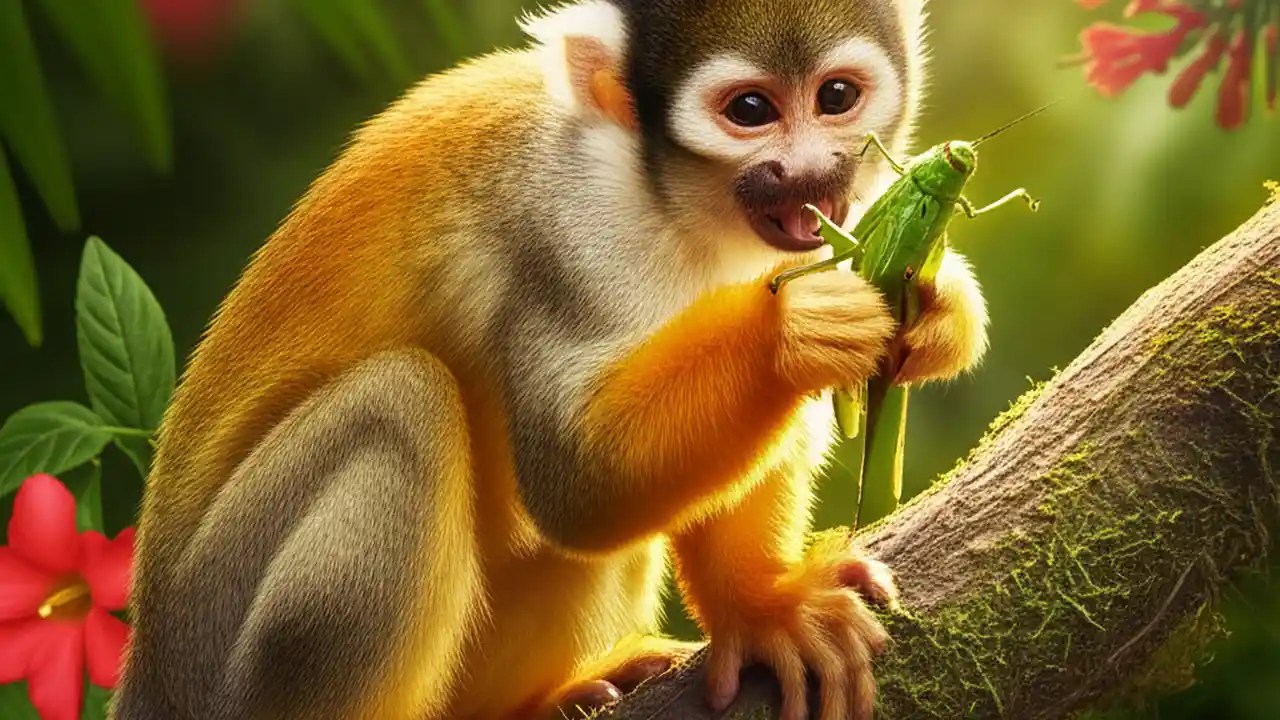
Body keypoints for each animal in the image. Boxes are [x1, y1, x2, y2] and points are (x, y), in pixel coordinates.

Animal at [112, 1, 986, 719]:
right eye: (750, 111)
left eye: (836, 97)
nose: (809, 173)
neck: (669, 200)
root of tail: (147, 670)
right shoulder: (568, 230)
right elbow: (580, 479)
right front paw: (788, 339)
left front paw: (764, 604)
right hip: (216, 647)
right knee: (400, 407)